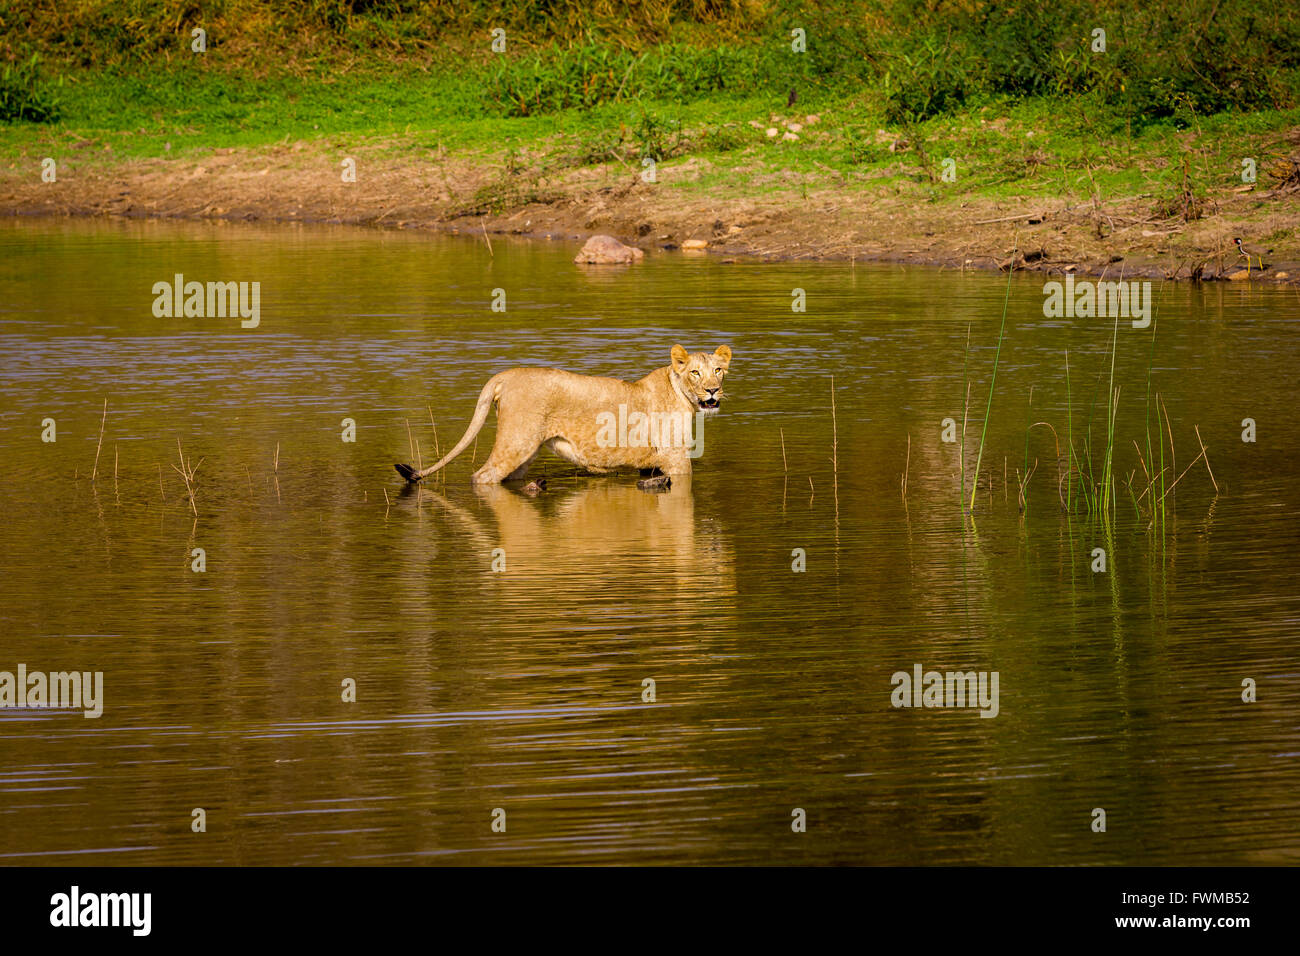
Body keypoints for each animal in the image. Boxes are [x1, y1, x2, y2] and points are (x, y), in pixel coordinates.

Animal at [395, 344, 732, 485]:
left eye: (718, 370)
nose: (712, 391)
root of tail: (505, 375)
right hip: (516, 442)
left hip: (525, 453)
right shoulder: (676, 458)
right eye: (695, 372)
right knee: (482, 476)